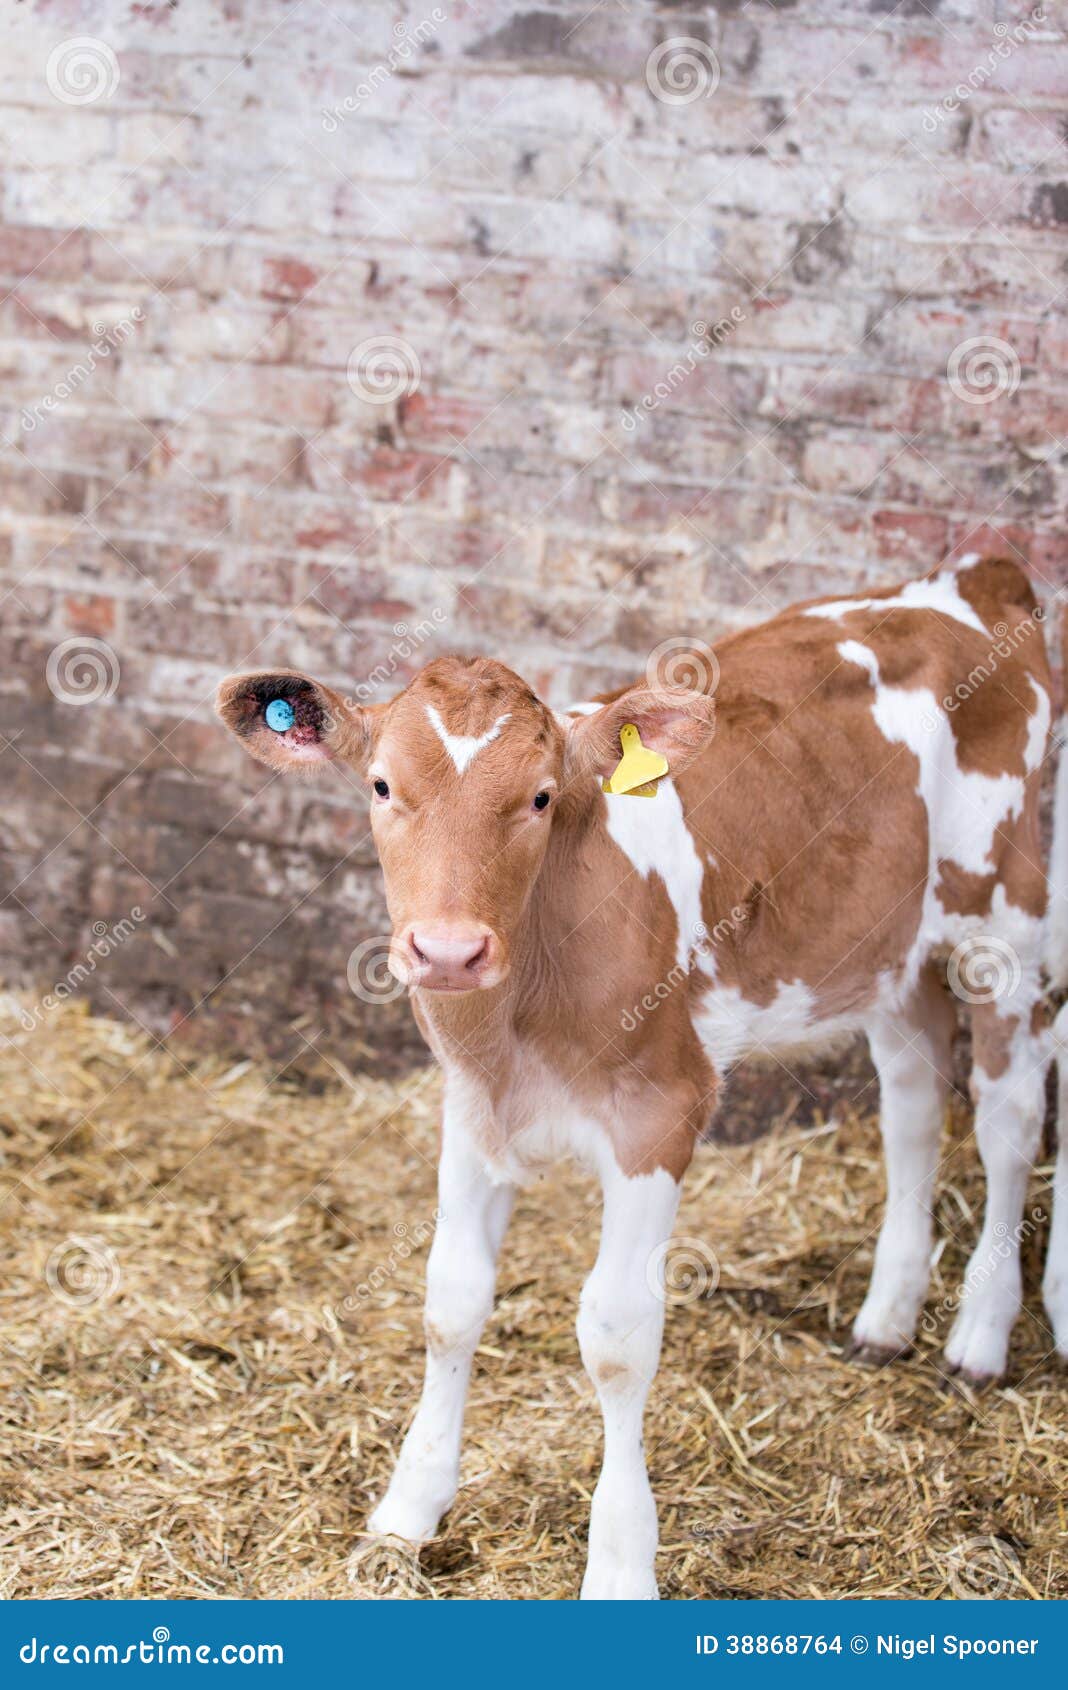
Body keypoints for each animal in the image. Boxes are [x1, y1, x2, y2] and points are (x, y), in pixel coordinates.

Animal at [217, 551, 1067, 1600]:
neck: (521, 1021)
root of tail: (976, 574)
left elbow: (618, 1339)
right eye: (380, 786)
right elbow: (451, 1303)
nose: (448, 951)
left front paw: (620, 1562)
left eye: (542, 797)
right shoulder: (473, 1110)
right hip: (889, 956)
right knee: (913, 1110)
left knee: (1009, 1118)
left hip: (1006, 925)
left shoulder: (662, 1112)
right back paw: (887, 1317)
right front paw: (408, 1510)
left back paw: (982, 1330)